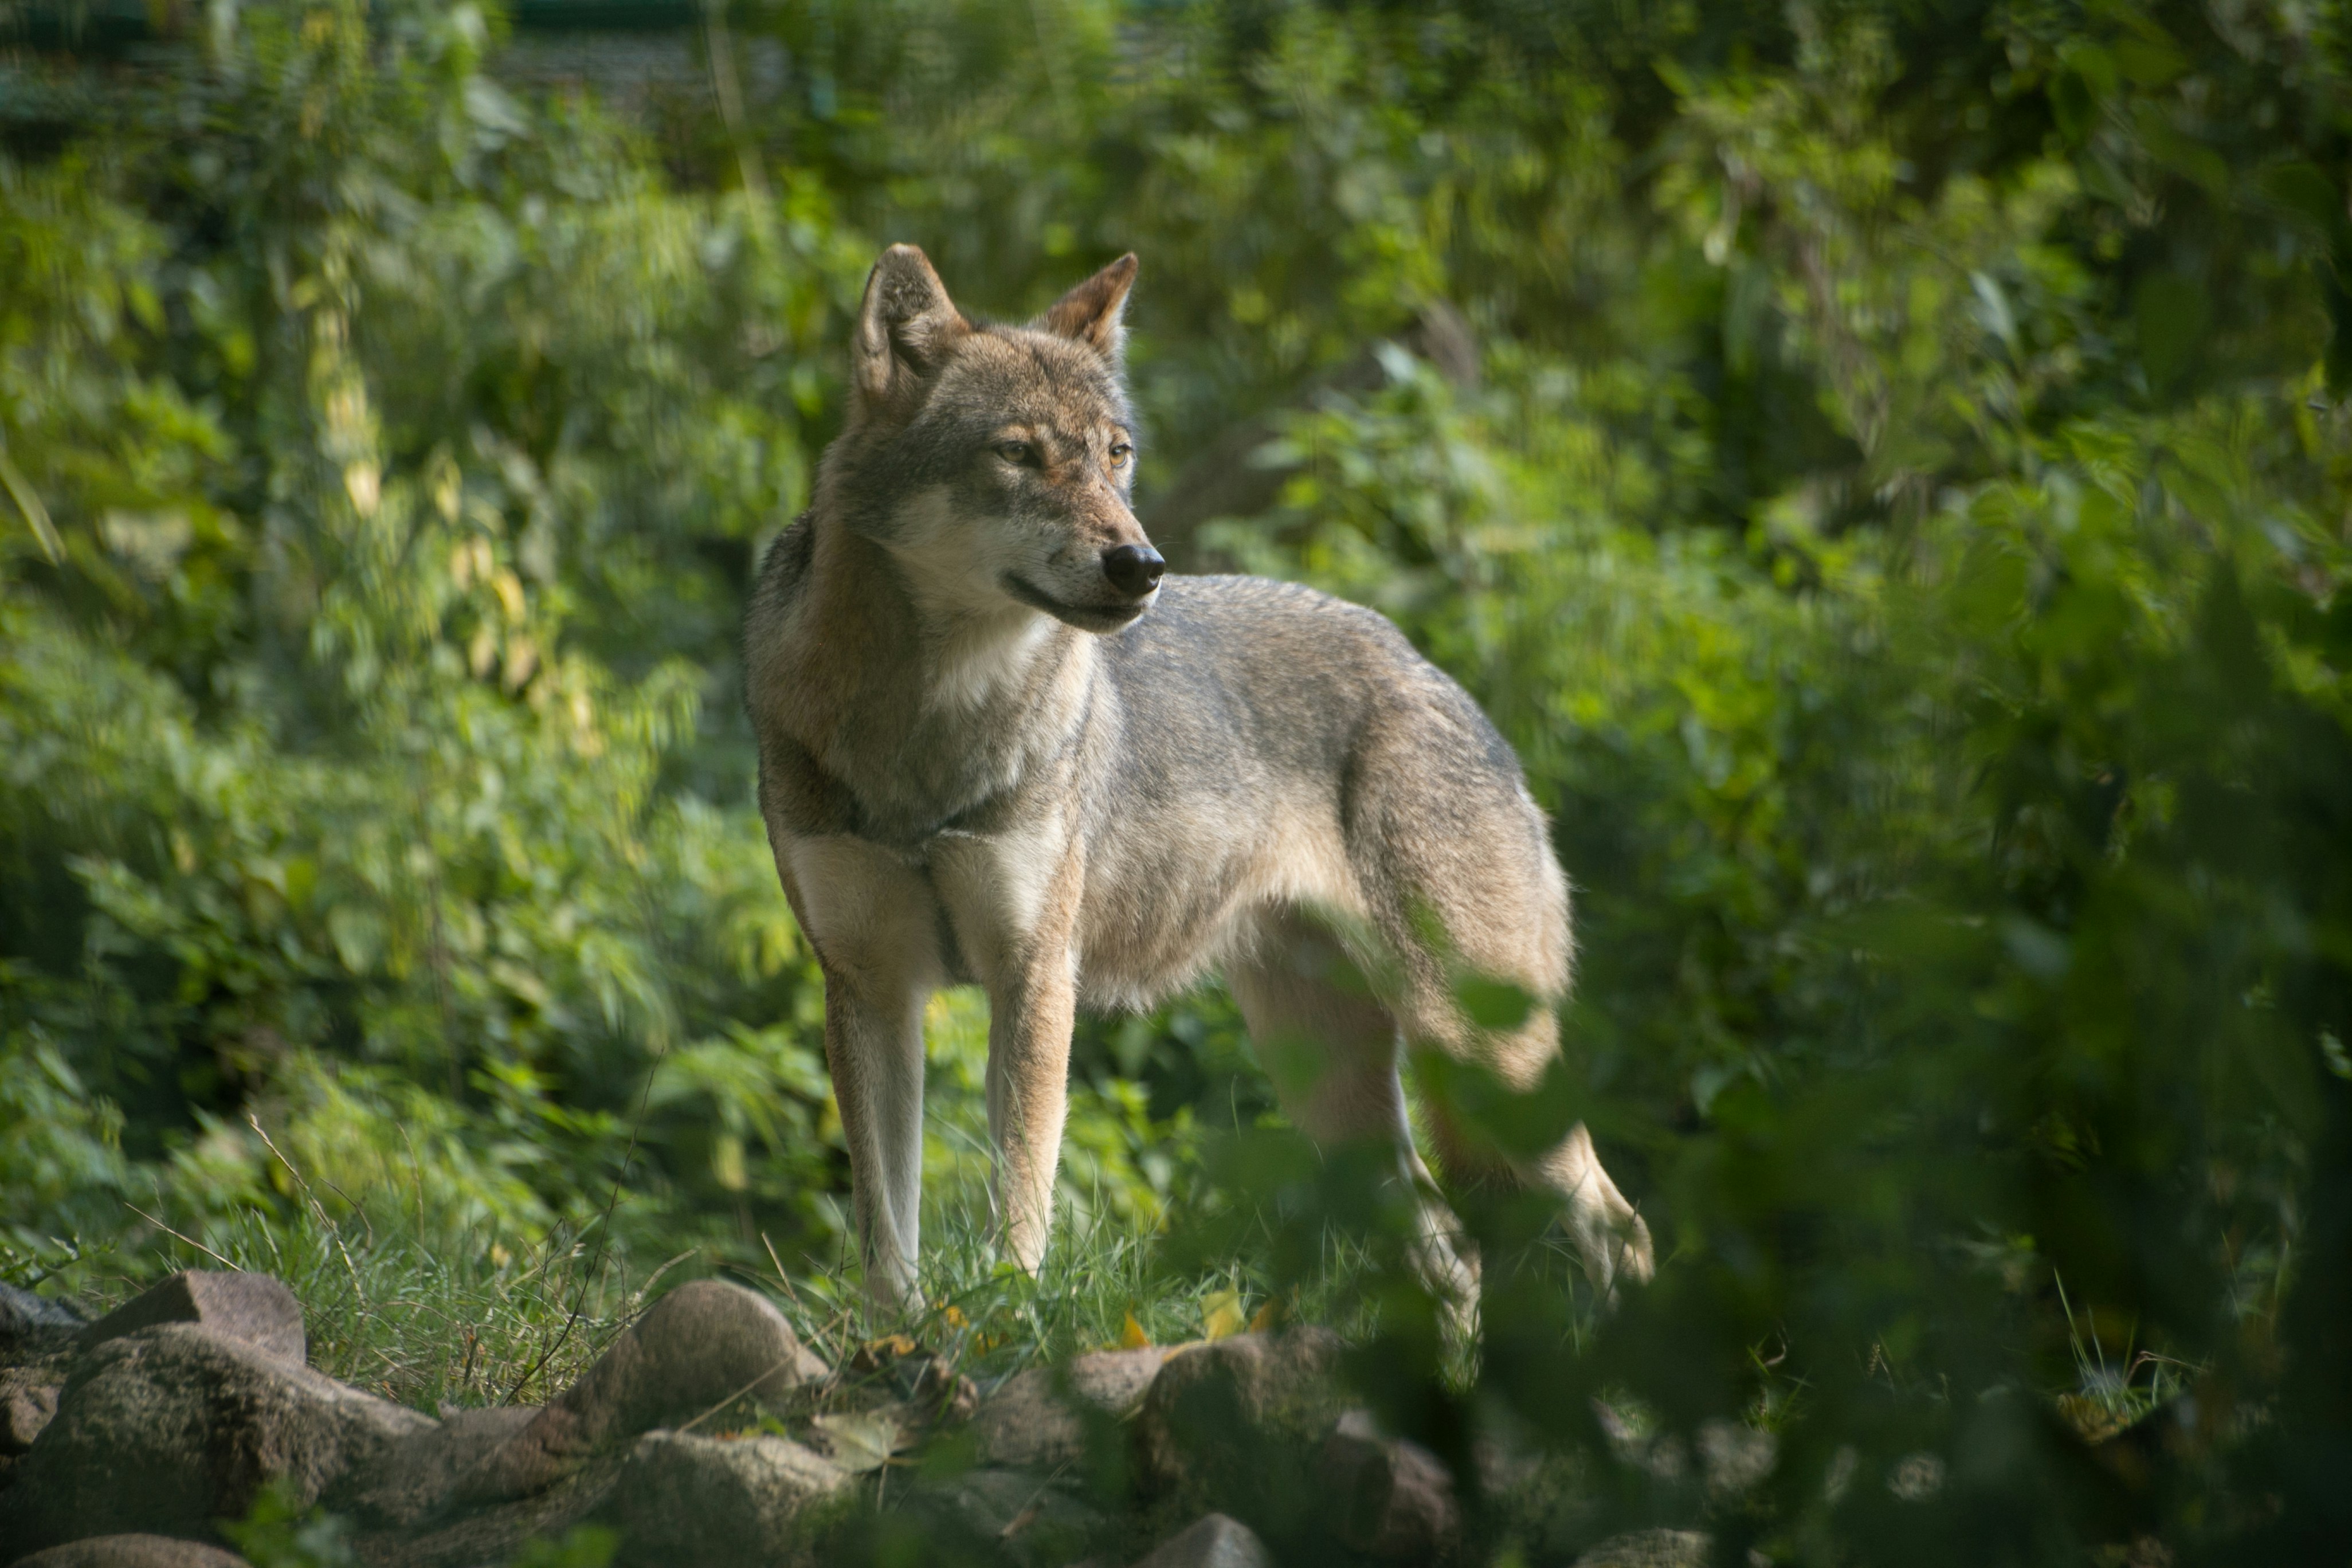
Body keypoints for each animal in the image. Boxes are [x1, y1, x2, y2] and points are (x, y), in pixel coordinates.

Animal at [743, 244, 1653, 1317]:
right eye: (1016, 454)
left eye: (1116, 453)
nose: (1141, 563)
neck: (929, 722)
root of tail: (1437, 675)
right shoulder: (870, 990)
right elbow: (887, 1237)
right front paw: (898, 1339)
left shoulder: (1035, 977)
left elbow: (1020, 1201)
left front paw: (1005, 1322)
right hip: (1331, 1081)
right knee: (1452, 1248)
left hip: (1480, 1053)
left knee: (1617, 1227)